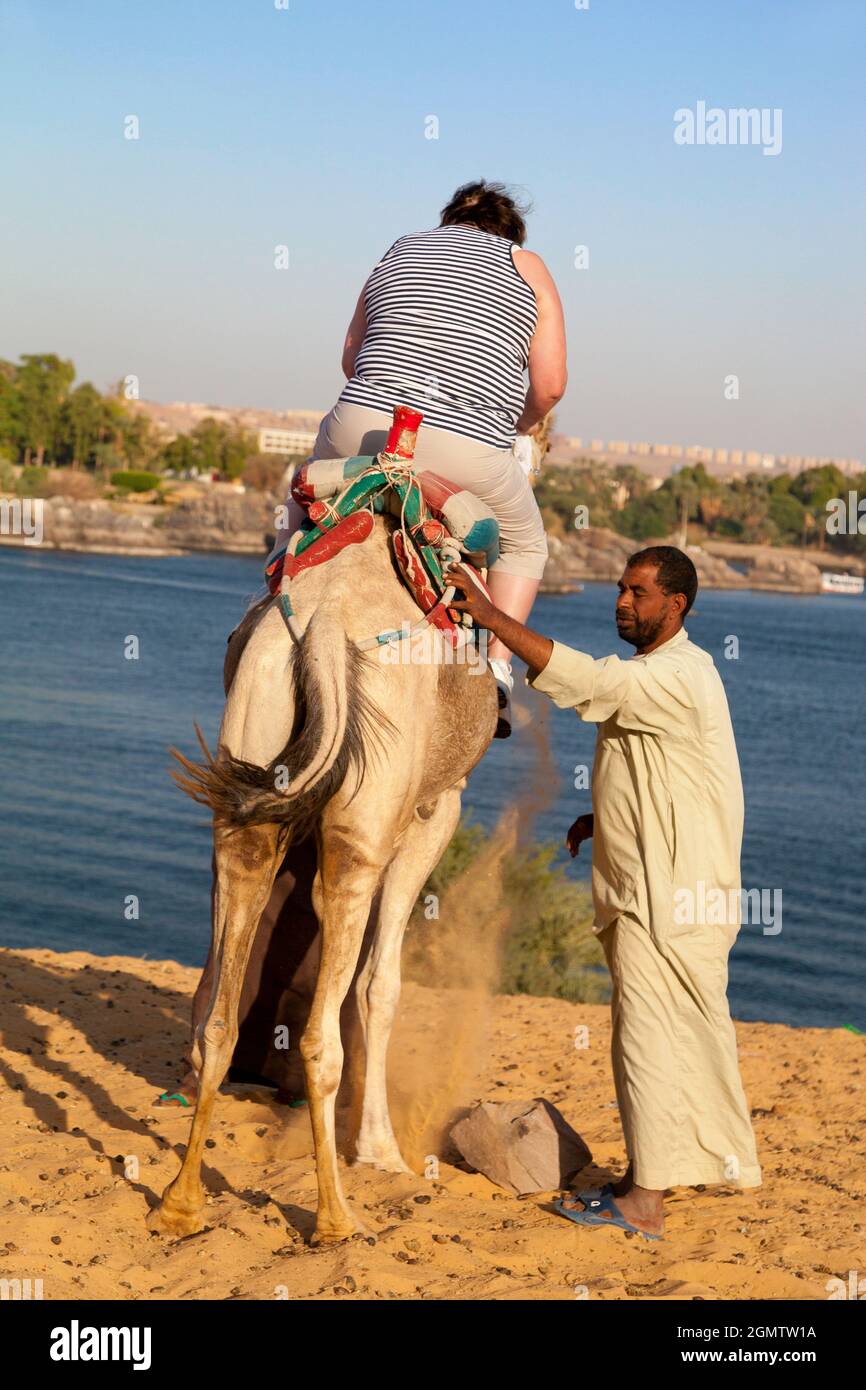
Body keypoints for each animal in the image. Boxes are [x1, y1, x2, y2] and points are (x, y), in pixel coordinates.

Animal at [148, 503, 498, 1241]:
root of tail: (327, 628)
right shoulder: (434, 812)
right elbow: (381, 986)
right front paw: (383, 1152)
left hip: (249, 787)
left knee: (220, 1015)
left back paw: (181, 1202)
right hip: (364, 830)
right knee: (323, 1026)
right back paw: (337, 1218)